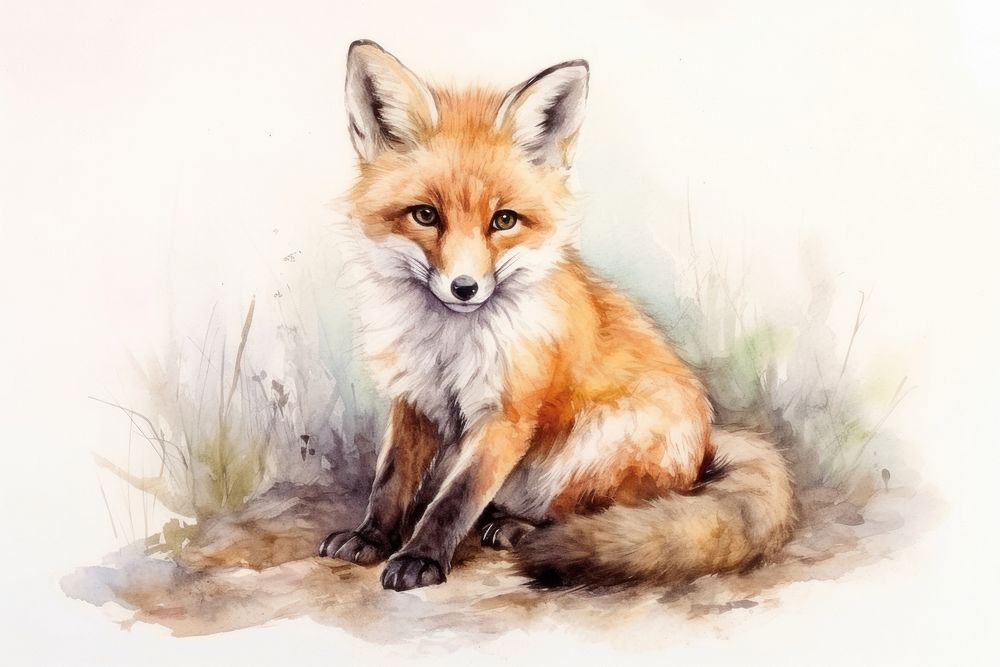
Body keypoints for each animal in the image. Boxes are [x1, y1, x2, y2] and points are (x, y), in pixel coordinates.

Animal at [319, 39, 795, 591]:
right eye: (425, 215)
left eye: (504, 220)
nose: (465, 288)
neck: (448, 342)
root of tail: (704, 447)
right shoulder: (414, 399)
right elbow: (391, 481)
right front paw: (372, 536)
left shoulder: (506, 415)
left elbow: (453, 500)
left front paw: (421, 557)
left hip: (596, 446)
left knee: (586, 511)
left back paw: (521, 529)